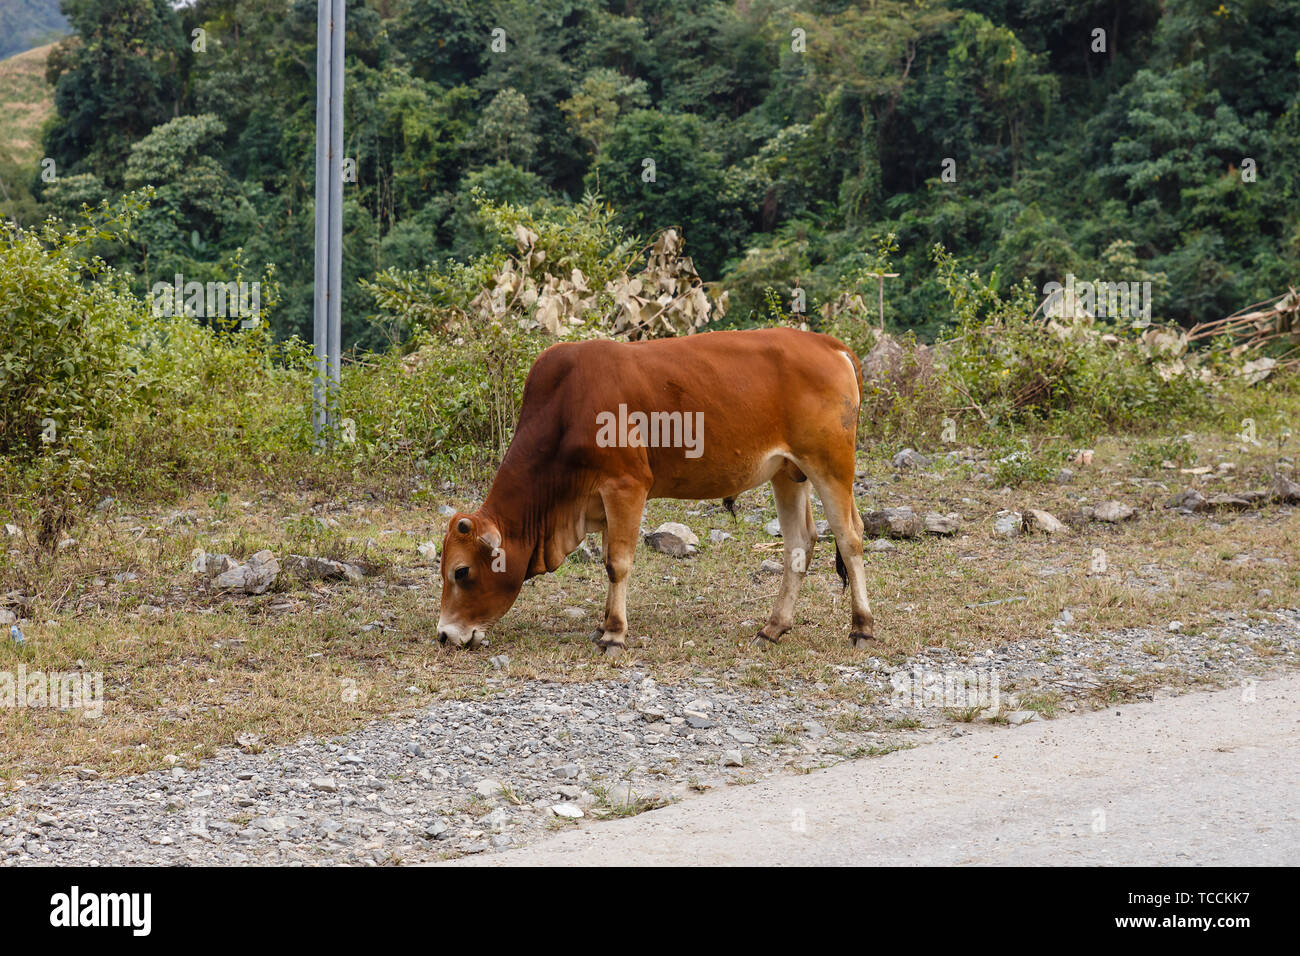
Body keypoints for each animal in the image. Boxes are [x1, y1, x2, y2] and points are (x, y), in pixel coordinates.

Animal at [436, 326, 874, 654]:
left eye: (461, 571)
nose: (444, 634)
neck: (565, 409)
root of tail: (828, 344)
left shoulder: (626, 487)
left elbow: (618, 563)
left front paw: (614, 634)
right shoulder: (603, 501)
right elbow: (608, 561)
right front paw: (603, 626)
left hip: (830, 464)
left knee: (850, 538)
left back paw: (862, 627)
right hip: (788, 473)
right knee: (800, 544)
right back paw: (773, 628)